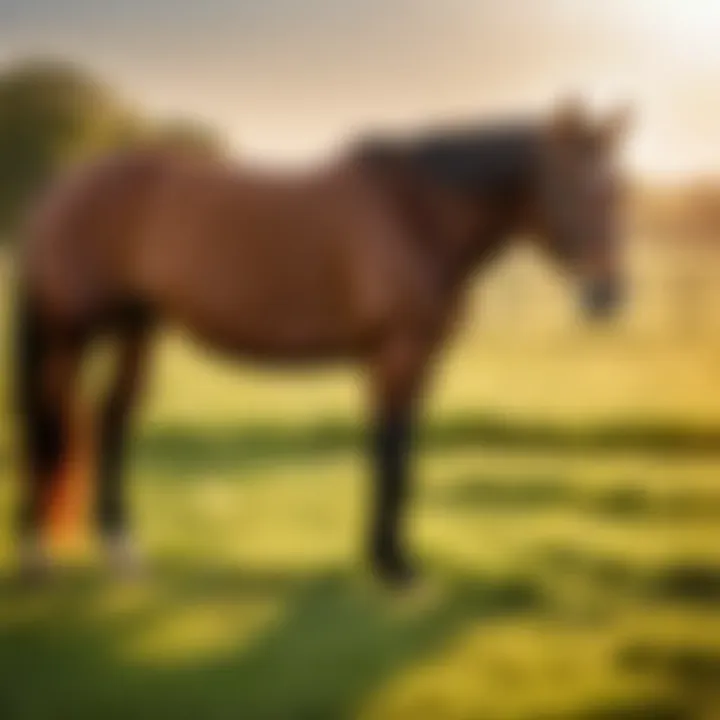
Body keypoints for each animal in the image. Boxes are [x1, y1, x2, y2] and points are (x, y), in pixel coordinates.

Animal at [12, 101, 632, 584]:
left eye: (619, 190)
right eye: (570, 188)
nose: (607, 296)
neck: (415, 213)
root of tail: (62, 188)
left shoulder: (421, 361)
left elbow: (402, 453)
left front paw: (390, 557)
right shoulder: (396, 354)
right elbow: (391, 454)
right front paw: (394, 566)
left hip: (134, 327)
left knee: (111, 420)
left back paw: (123, 553)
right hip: (68, 331)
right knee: (52, 427)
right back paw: (38, 557)